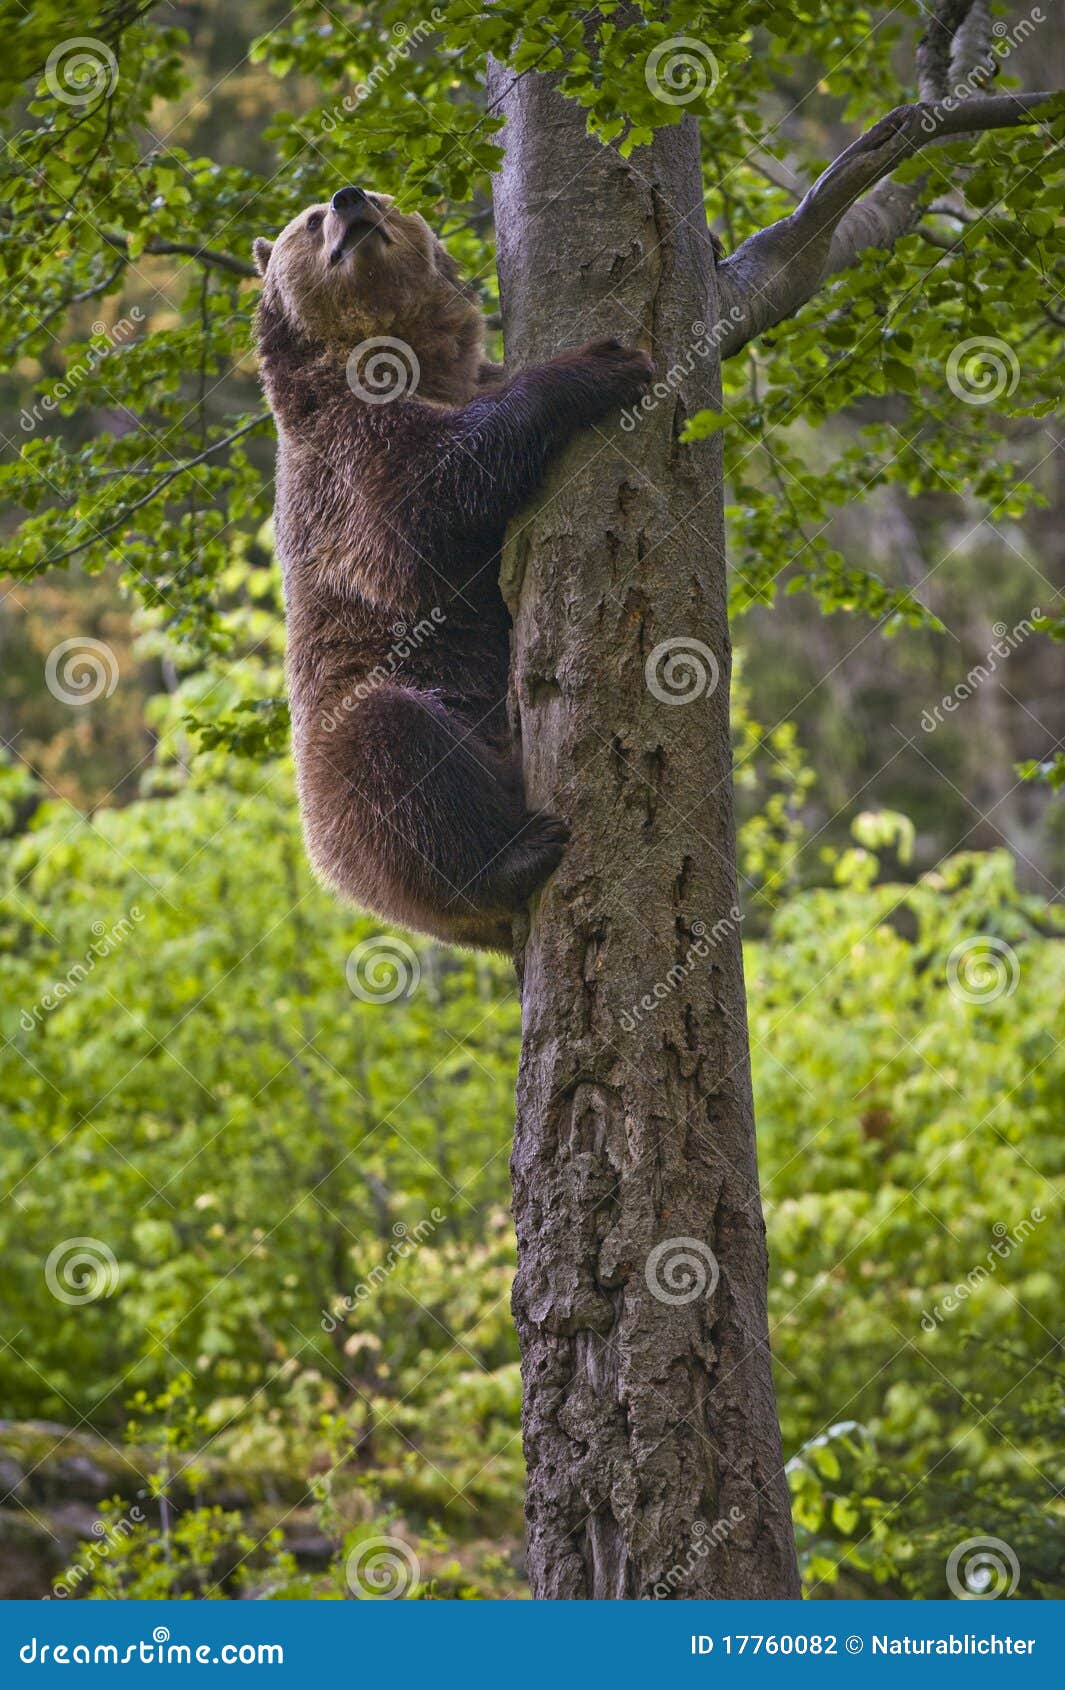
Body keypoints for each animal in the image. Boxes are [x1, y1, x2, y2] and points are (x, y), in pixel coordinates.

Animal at [254, 185, 654, 952]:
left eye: (382, 195)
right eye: (309, 221)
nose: (349, 200)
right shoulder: (342, 463)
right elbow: (425, 504)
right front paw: (602, 364)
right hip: (339, 775)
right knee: (393, 750)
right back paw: (514, 854)